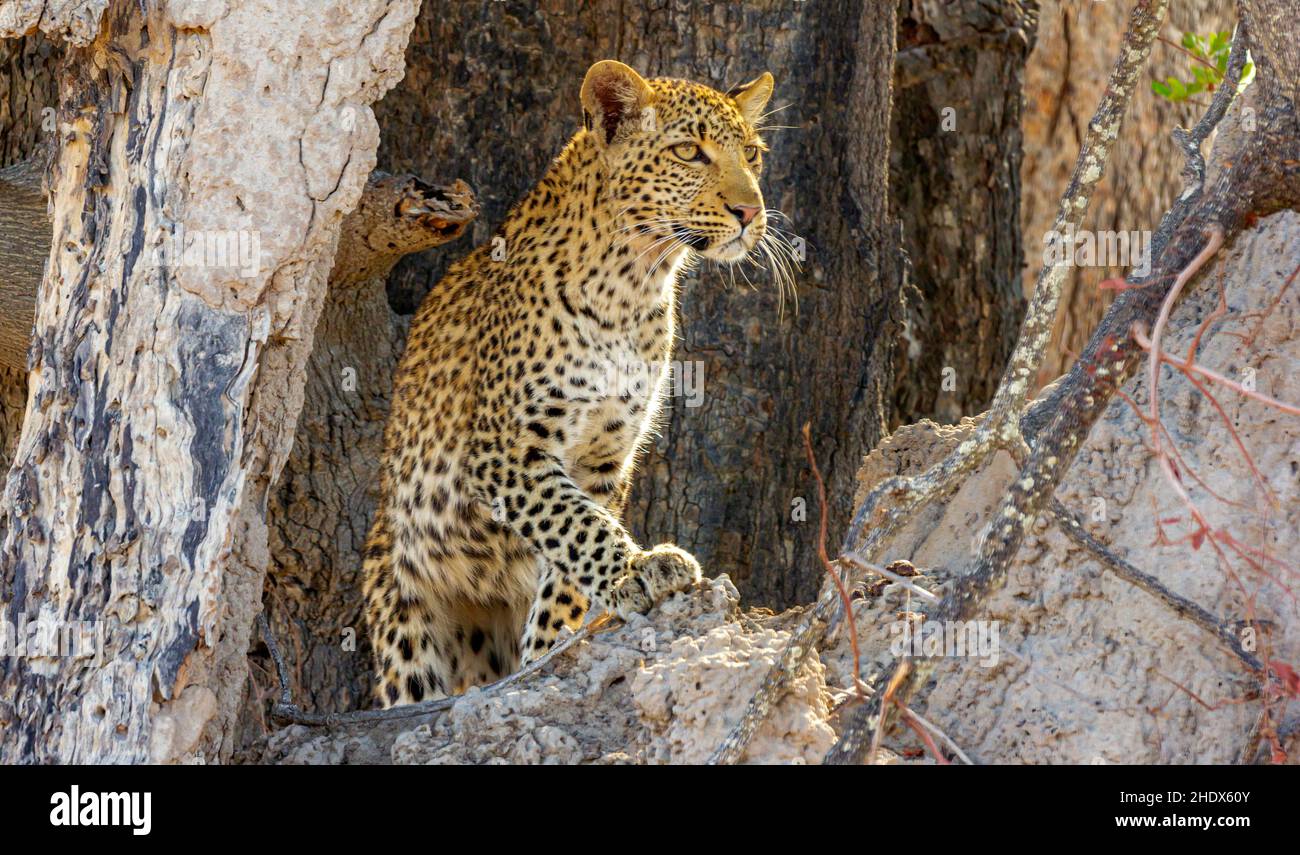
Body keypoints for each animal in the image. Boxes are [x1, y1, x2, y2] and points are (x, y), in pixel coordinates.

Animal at [362, 60, 777, 707]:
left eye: (752, 155)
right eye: (689, 152)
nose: (751, 213)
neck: (635, 284)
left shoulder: (603, 459)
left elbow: (572, 552)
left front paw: (551, 648)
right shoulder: (507, 453)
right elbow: (575, 525)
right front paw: (639, 570)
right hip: (403, 615)